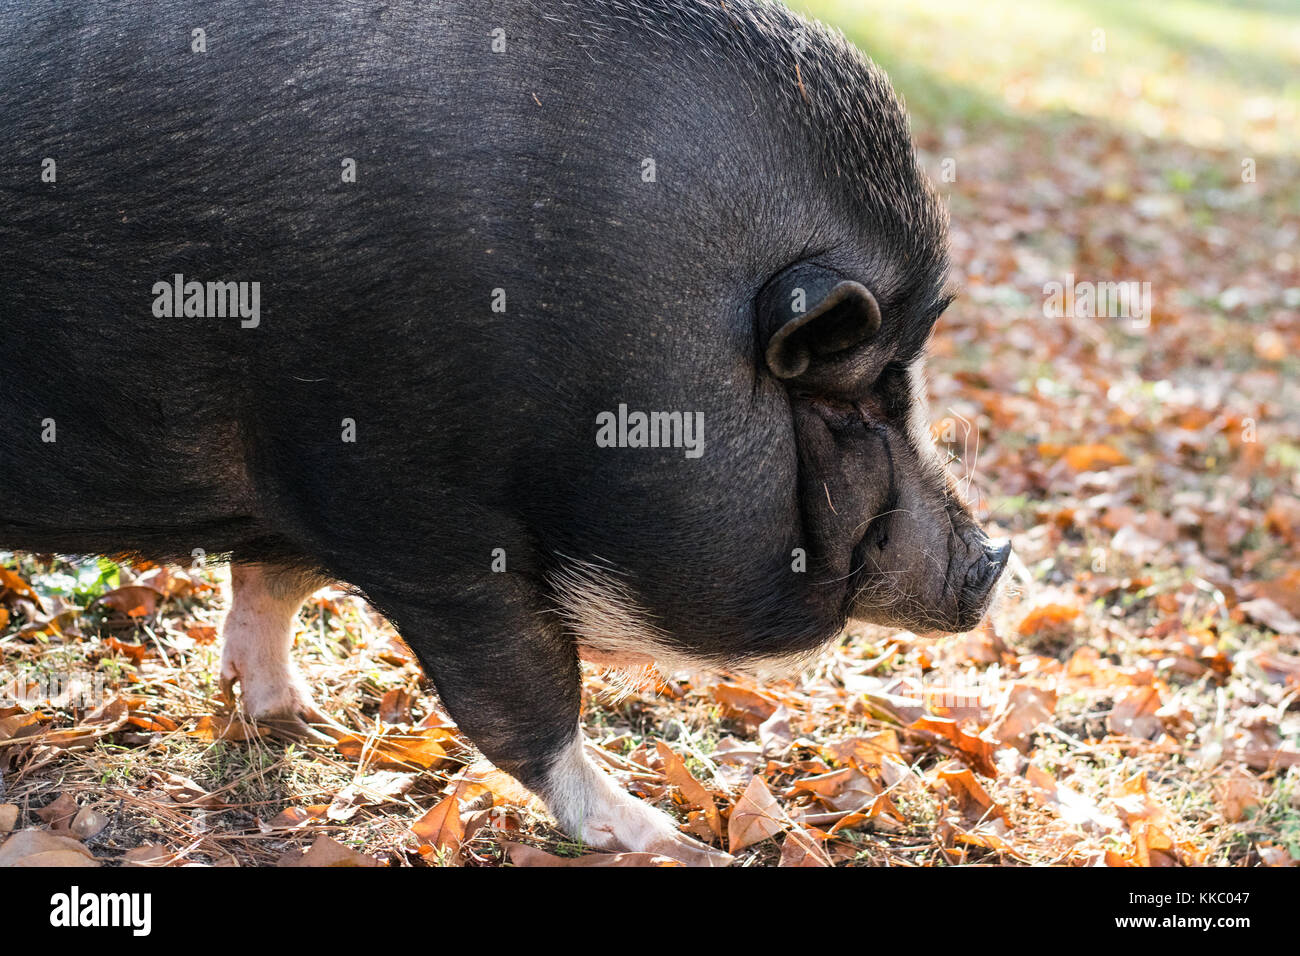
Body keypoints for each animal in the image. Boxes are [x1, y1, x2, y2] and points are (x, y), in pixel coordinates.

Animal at [0, 0, 1009, 865]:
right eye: (852, 403)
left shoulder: (306, 493)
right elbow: (525, 699)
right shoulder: (415, 511)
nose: (994, 558)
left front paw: (310, 725)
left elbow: (270, 587)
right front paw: (676, 841)